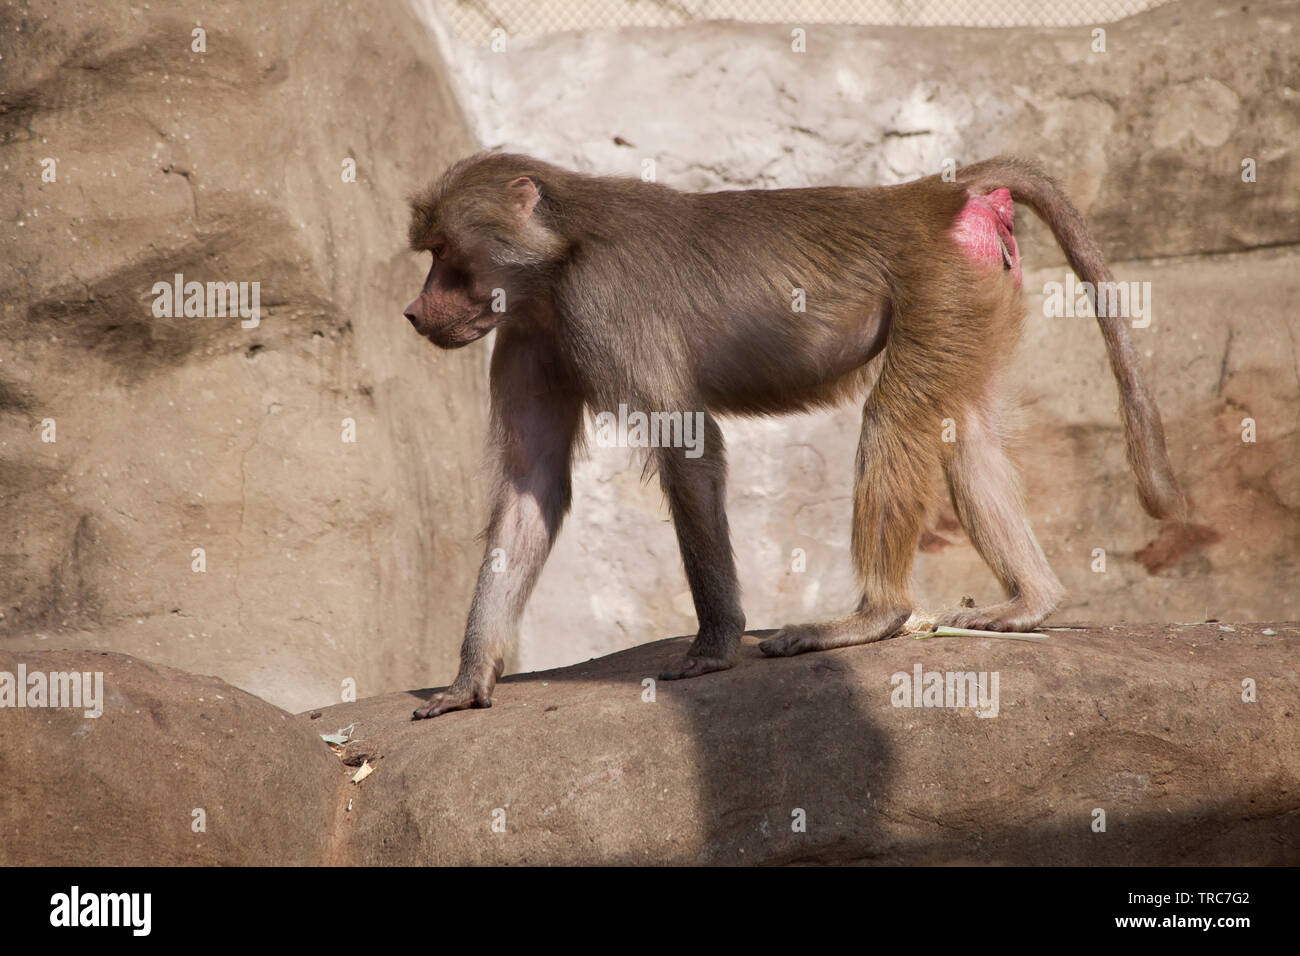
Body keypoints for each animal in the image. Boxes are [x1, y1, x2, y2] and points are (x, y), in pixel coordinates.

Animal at [403, 152, 1183, 719]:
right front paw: (468, 681)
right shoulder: (525, 335)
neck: (556, 256)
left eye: (444, 250)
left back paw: (873, 617)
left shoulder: (605, 300)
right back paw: (1031, 603)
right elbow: (531, 482)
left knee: (896, 421)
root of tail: (930, 196)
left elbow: (689, 446)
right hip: (976, 292)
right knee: (967, 433)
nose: (414, 311)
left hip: (941, 283)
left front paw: (714, 647)